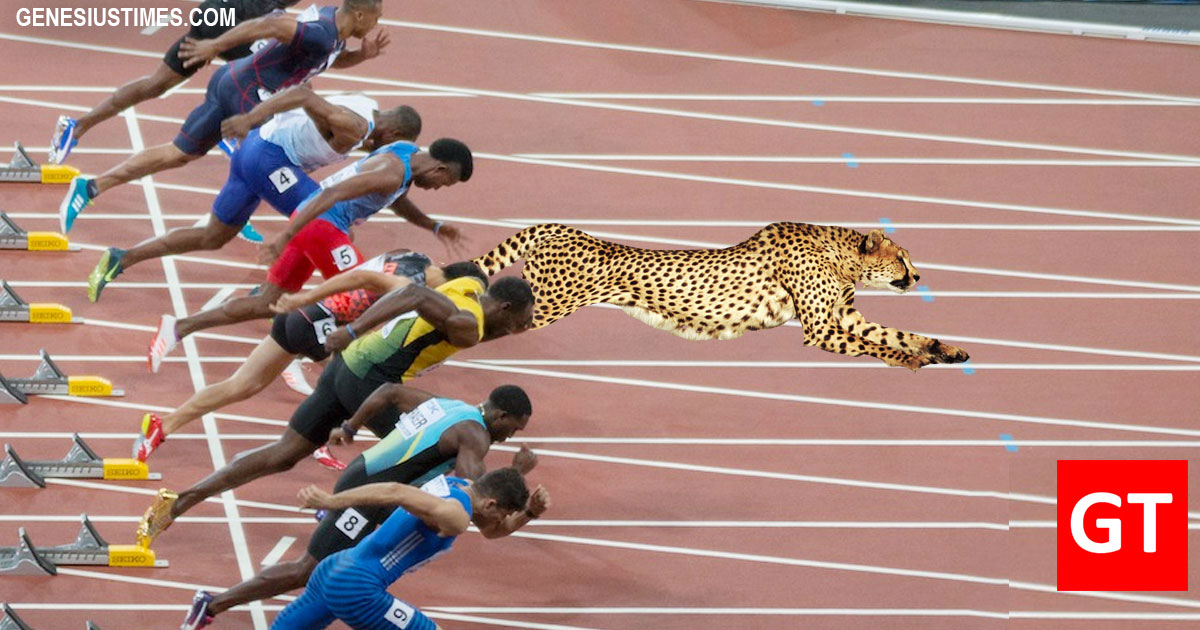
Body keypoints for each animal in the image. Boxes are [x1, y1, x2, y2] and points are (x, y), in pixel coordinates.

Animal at [472, 222, 970, 370]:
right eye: (901, 258)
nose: (918, 274)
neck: (842, 255)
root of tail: (563, 228)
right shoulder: (821, 329)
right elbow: (878, 344)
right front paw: (910, 361)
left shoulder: (844, 318)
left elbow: (896, 333)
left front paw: (945, 350)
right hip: (542, 307)